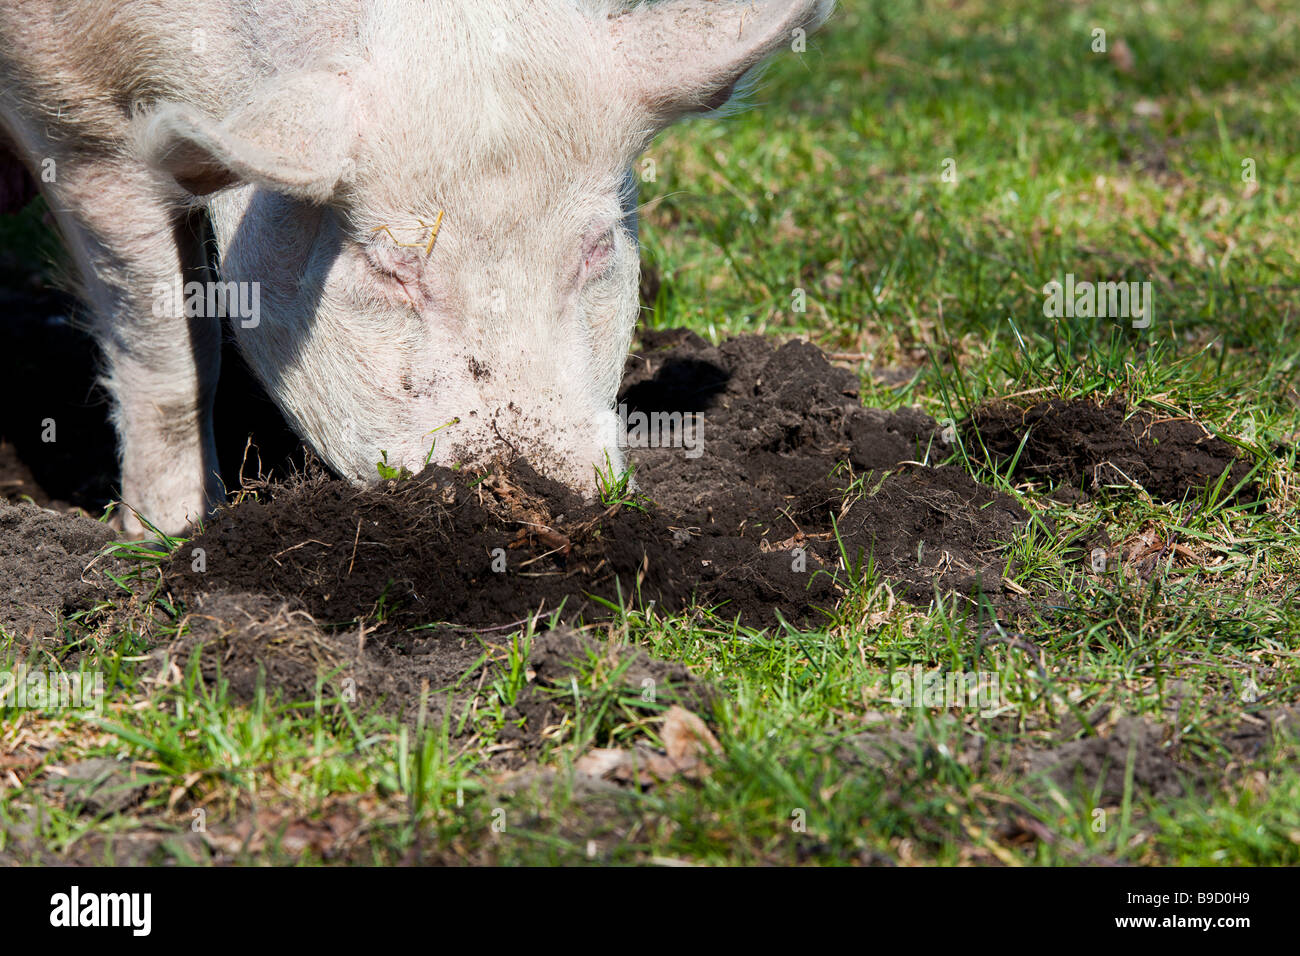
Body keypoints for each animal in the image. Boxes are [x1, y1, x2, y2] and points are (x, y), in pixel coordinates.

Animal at [0, 0, 833, 536]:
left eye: (598, 247)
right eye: (388, 267)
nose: (537, 499)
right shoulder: (74, 123)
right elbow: (168, 355)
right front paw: (166, 537)